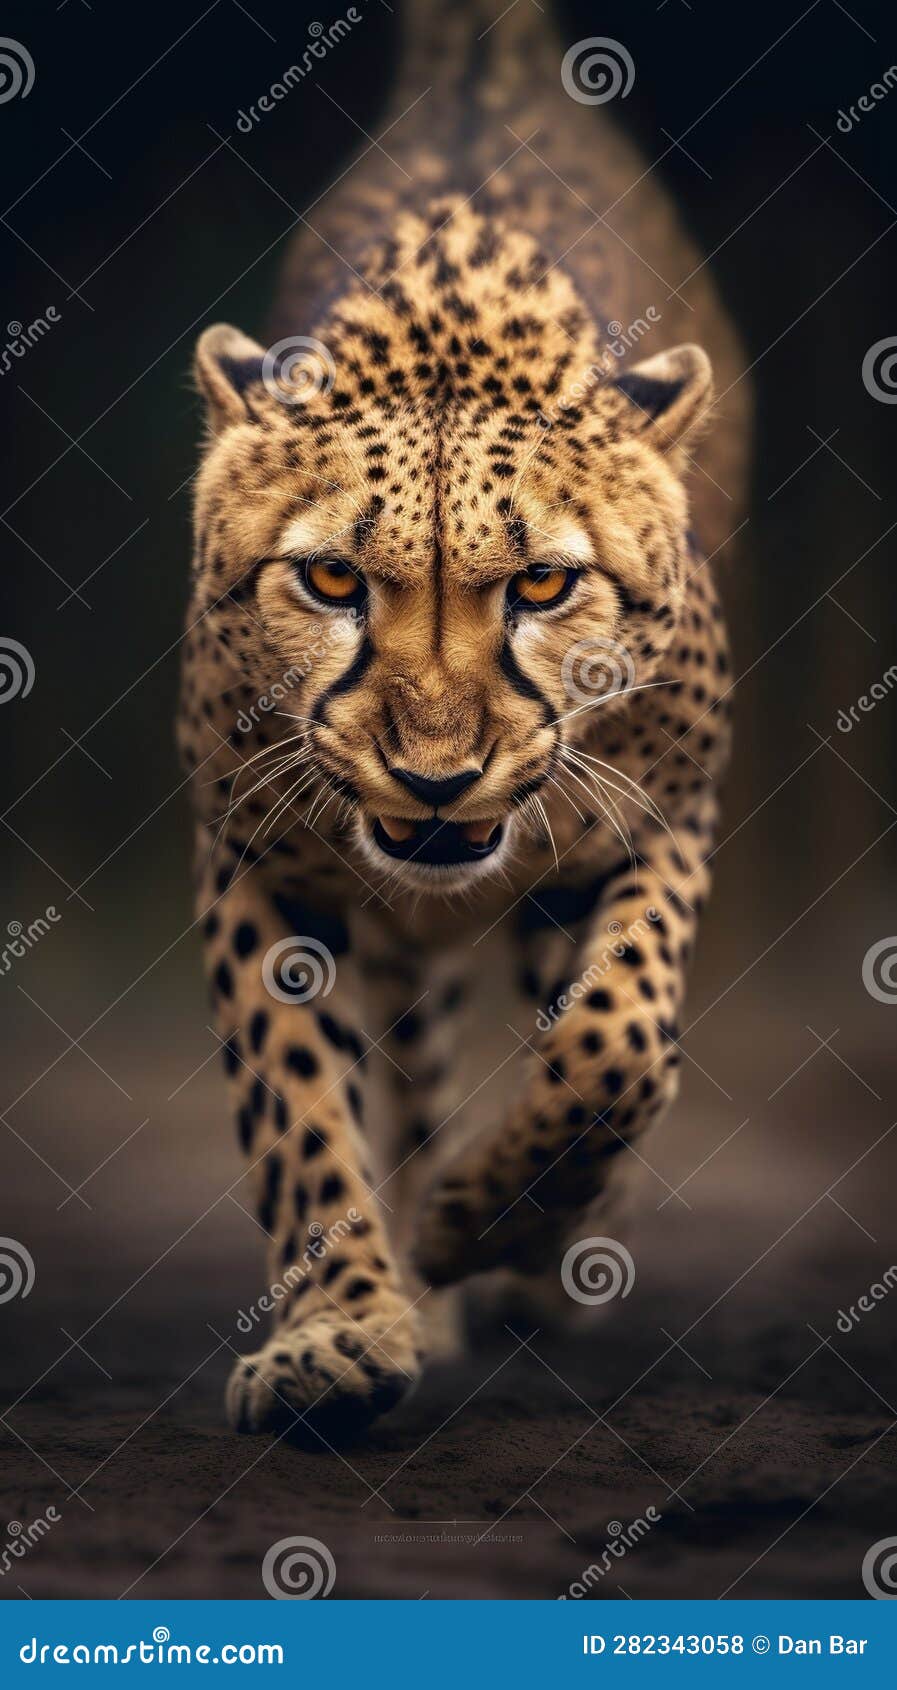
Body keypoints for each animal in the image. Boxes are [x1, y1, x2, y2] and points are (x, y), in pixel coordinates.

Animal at [178, 0, 751, 1443]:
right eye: (331, 579)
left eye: (542, 584)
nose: (435, 775)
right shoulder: (254, 854)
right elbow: (299, 1105)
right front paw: (345, 1327)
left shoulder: (662, 817)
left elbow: (617, 1045)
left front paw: (470, 1231)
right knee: (416, 1056)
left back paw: (528, 1261)